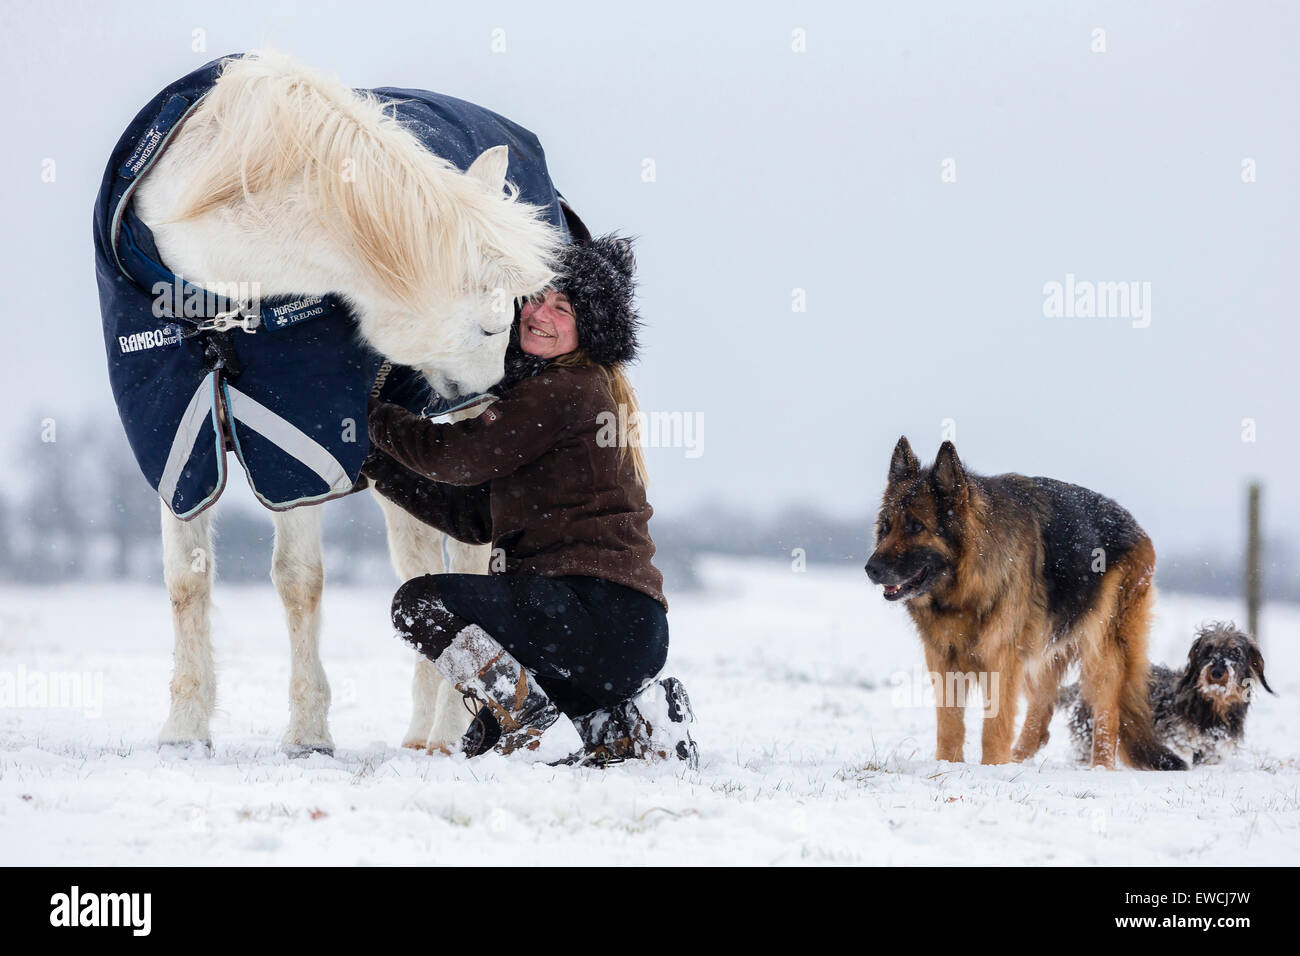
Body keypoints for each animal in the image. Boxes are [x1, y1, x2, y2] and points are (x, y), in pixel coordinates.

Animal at [120, 50, 563, 755]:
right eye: (494, 324)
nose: (499, 397)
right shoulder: (173, 430)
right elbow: (185, 577)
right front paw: (183, 732)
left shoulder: (296, 435)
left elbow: (297, 579)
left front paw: (307, 734)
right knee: (418, 564)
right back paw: (420, 732)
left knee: (466, 561)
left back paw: (449, 733)